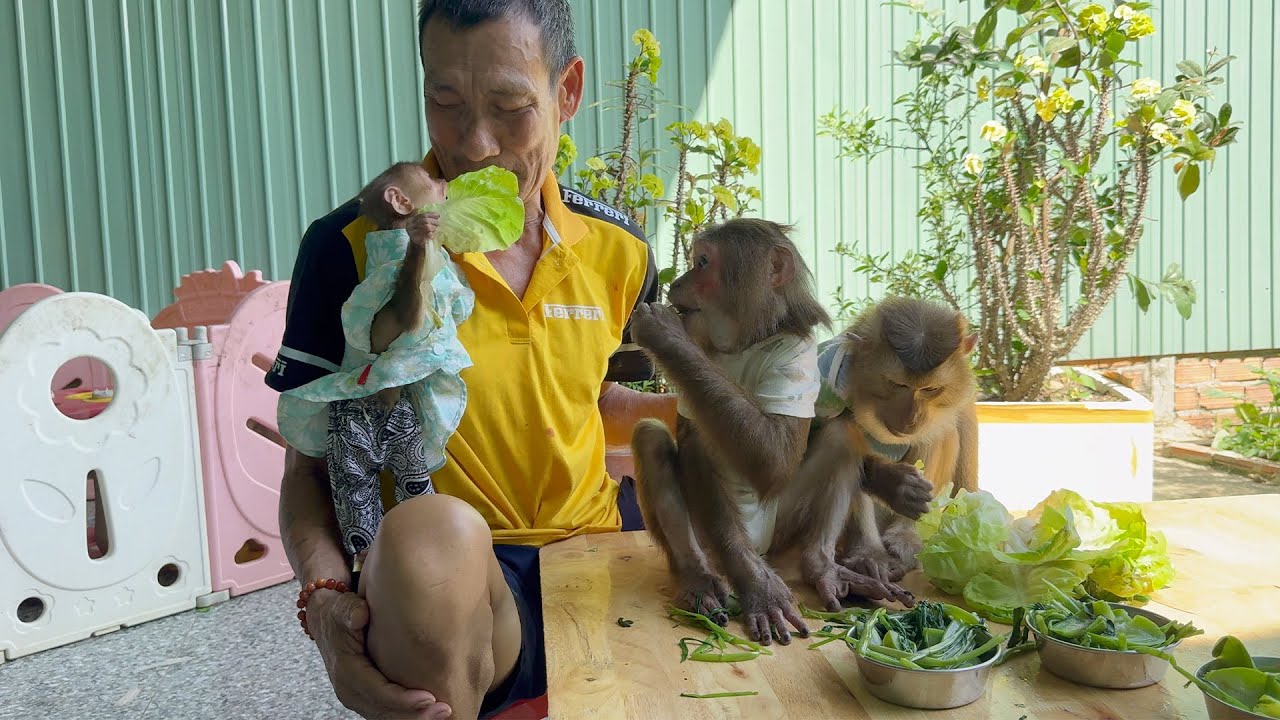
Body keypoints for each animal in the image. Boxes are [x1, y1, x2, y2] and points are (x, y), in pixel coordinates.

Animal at [628, 219, 915, 646]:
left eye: (702, 262)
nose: (676, 281)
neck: (748, 340)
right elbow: (694, 446)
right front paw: (756, 585)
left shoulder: (801, 354)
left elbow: (775, 461)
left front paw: (665, 333)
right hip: (714, 545)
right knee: (650, 437)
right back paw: (698, 576)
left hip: (780, 536)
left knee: (841, 435)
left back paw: (822, 566)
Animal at [775, 296, 979, 605]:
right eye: (896, 384)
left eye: (930, 389)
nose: (912, 418)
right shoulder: (823, 373)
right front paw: (892, 483)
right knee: (843, 429)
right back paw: (865, 555)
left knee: (941, 431)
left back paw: (903, 537)